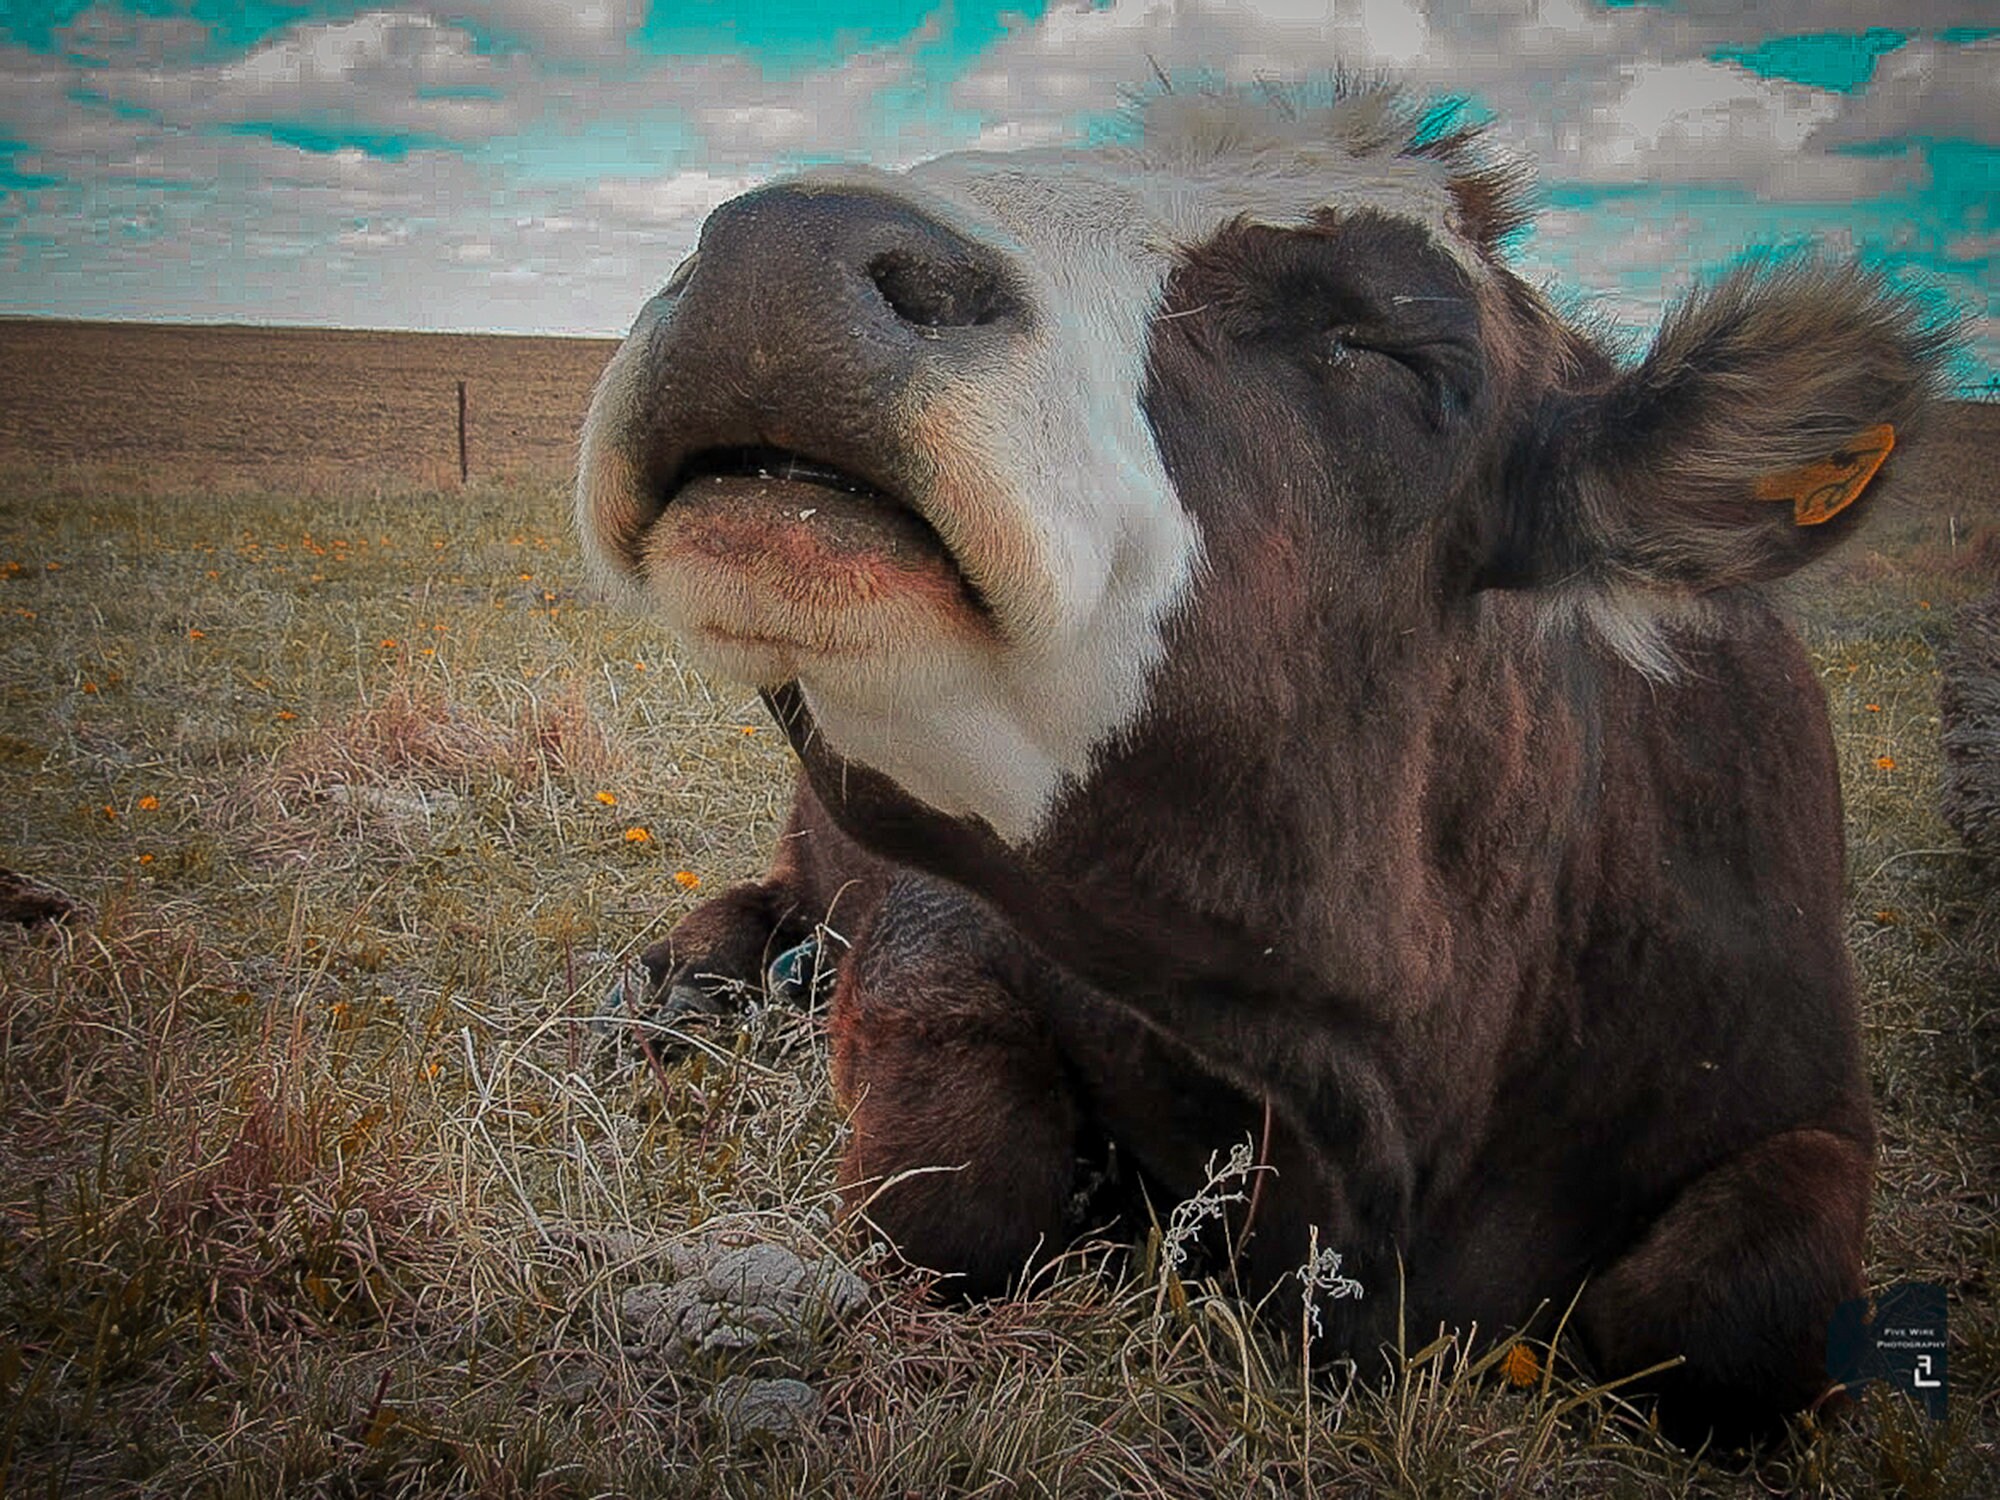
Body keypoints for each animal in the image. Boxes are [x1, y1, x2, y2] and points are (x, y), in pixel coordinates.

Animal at [575, 79, 1948, 1444]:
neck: (1374, 1097)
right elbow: (955, 1204)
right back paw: (682, 989)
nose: (776, 253)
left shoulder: (1805, 1104)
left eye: (1392, 350)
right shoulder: (941, 933)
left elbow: (1729, 1318)